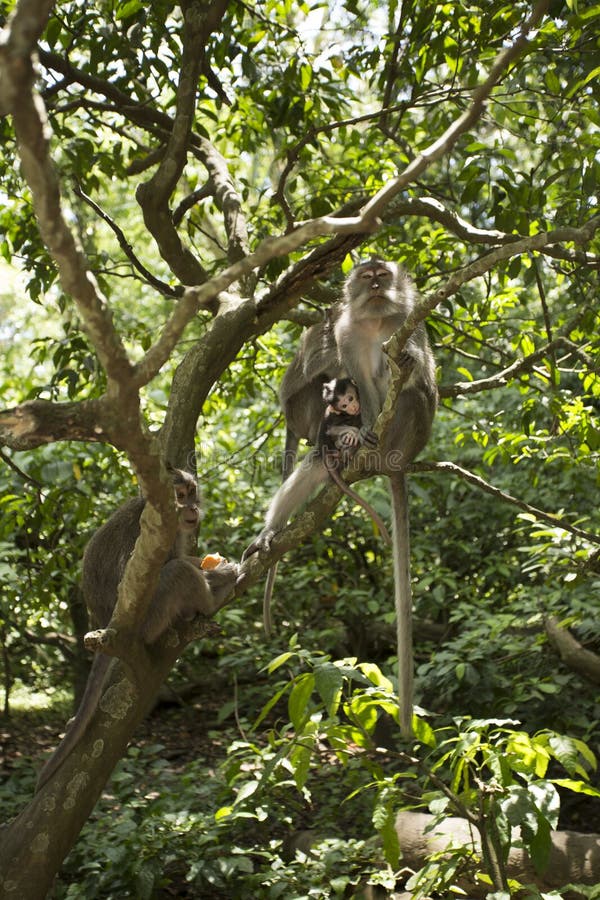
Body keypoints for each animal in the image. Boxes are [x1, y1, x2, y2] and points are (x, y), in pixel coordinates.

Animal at [36, 468, 238, 790]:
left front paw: (213, 562)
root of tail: (107, 625)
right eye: (180, 495)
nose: (192, 508)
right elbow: (145, 575)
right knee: (176, 573)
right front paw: (217, 571)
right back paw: (209, 601)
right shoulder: (155, 532)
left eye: (192, 492)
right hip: (149, 618)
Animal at [317, 377, 391, 545]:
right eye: (344, 405)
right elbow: (330, 429)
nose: (351, 407)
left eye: (350, 398)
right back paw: (346, 451)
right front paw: (354, 433)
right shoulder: (333, 414)